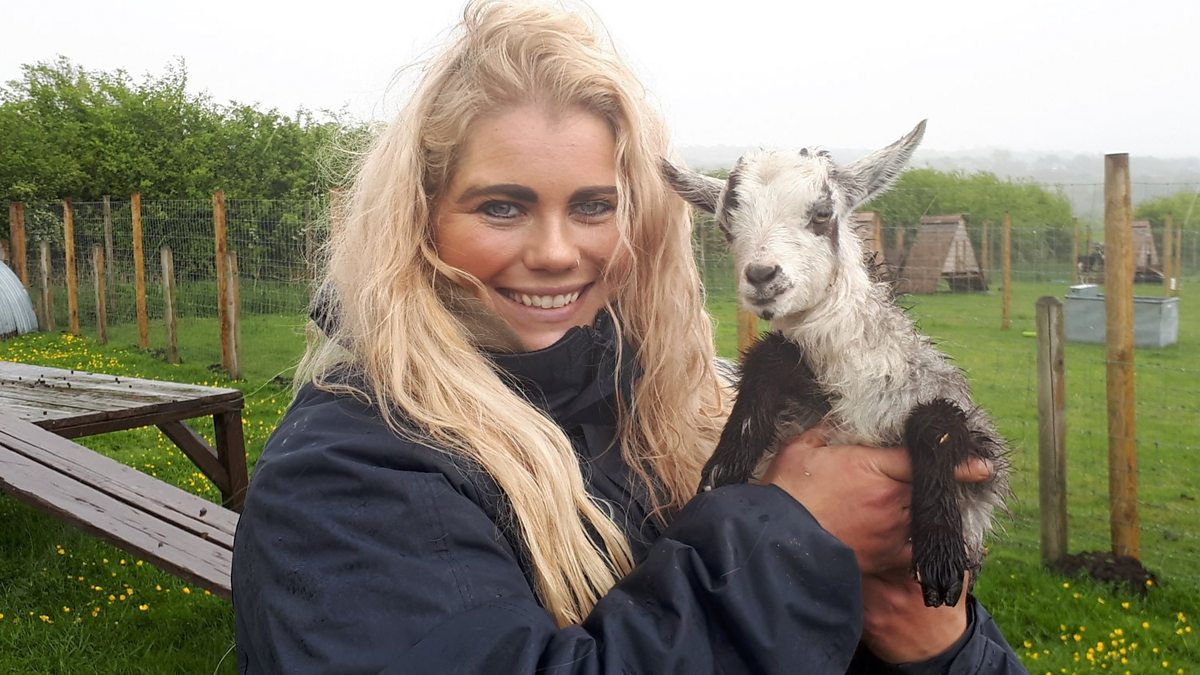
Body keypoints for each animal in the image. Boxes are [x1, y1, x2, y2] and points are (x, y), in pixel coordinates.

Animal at [663, 120, 1011, 608]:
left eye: (822, 213)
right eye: (727, 224)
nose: (761, 276)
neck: (855, 375)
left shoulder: (980, 453)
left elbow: (935, 421)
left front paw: (940, 555)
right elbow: (769, 356)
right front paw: (725, 465)